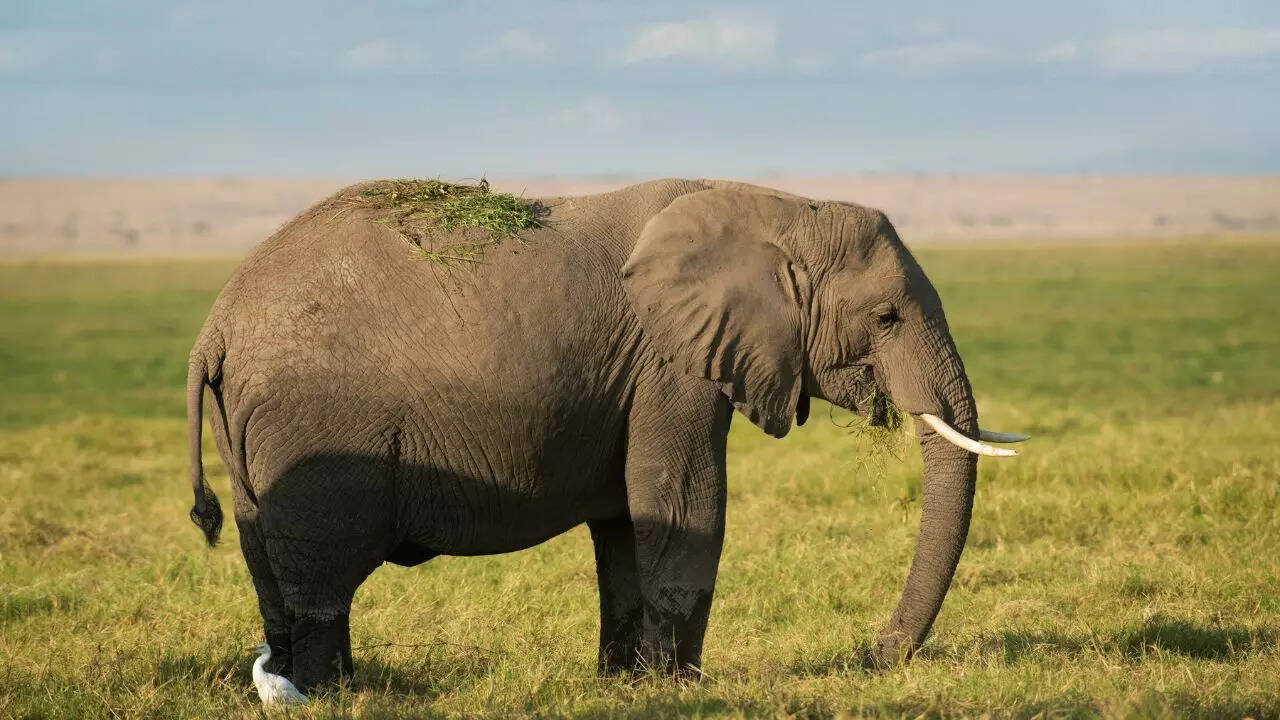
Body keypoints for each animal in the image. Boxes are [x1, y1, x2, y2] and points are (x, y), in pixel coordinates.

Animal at [185, 178, 1027, 691]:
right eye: (885, 318)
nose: (875, 653)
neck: (779, 205)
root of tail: (214, 326)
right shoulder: (671, 362)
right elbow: (683, 501)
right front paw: (680, 687)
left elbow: (628, 521)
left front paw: (626, 683)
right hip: (312, 426)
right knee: (323, 573)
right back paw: (331, 692)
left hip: (248, 432)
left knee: (267, 561)